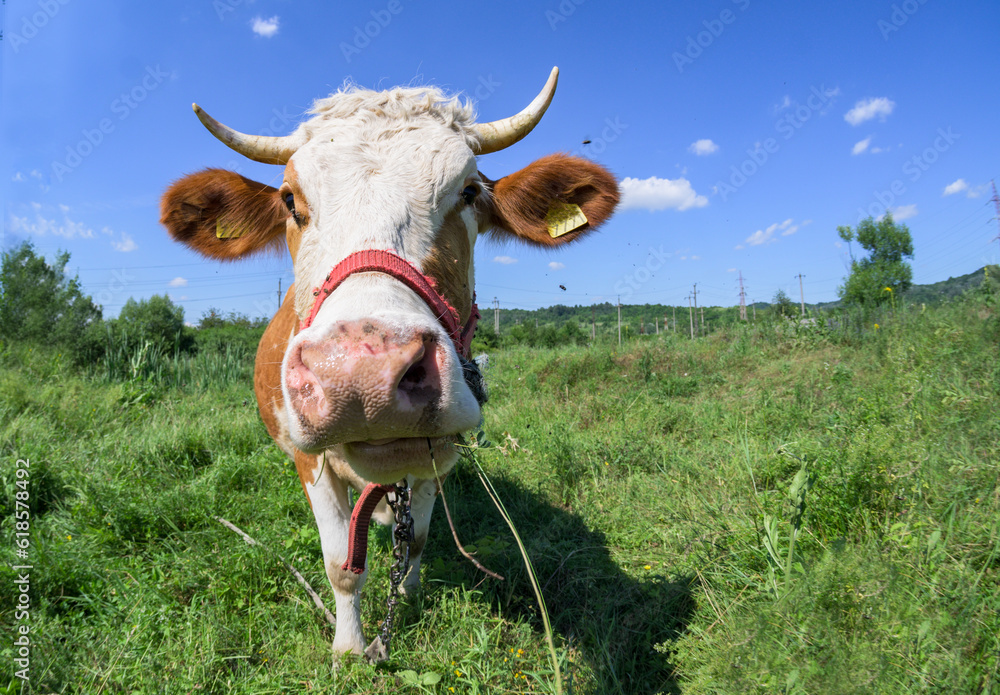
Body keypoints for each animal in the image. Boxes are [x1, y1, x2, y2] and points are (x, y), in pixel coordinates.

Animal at [159, 67, 619, 658]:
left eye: (469, 191)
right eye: (289, 200)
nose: (362, 376)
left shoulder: (437, 454)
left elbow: (417, 537)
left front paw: (412, 595)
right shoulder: (309, 460)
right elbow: (341, 564)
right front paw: (350, 648)